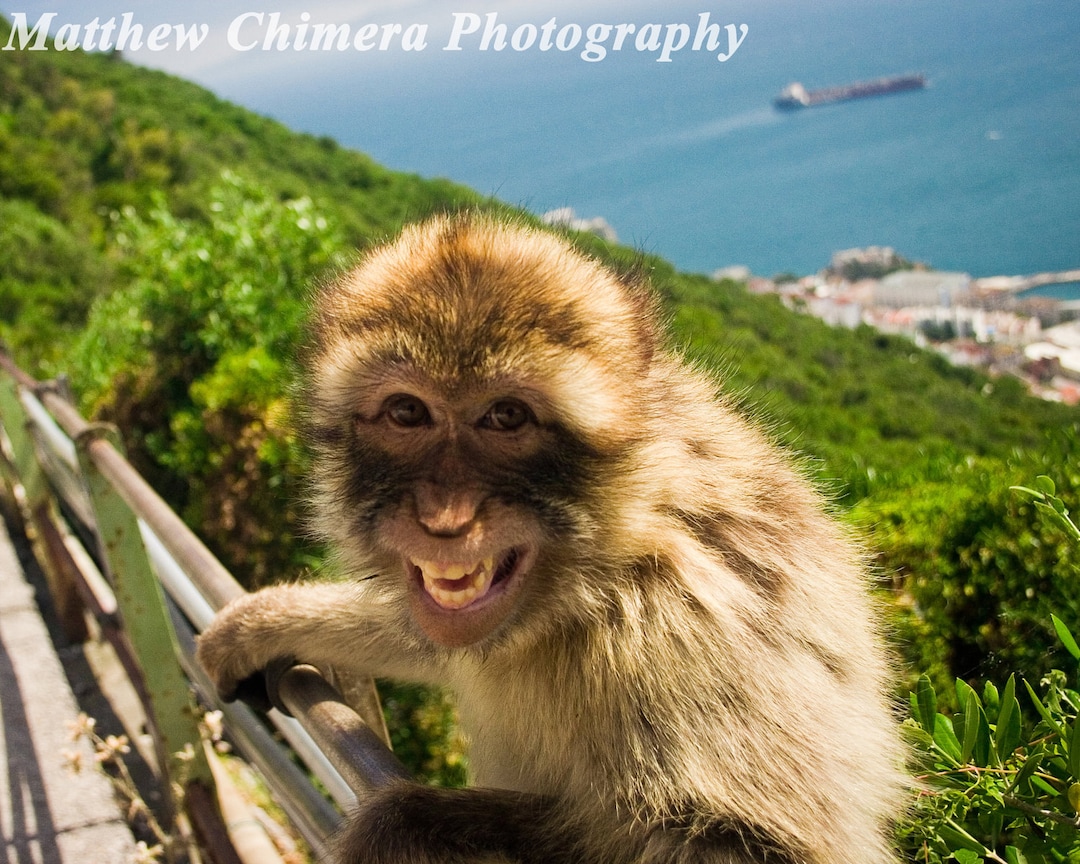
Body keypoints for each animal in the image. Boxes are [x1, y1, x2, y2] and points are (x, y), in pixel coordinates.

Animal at [196, 212, 908, 864]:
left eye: (507, 416)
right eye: (406, 412)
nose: (445, 518)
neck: (598, 584)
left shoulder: (689, 633)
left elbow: (746, 844)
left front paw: (406, 823)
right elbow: (436, 642)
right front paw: (261, 624)